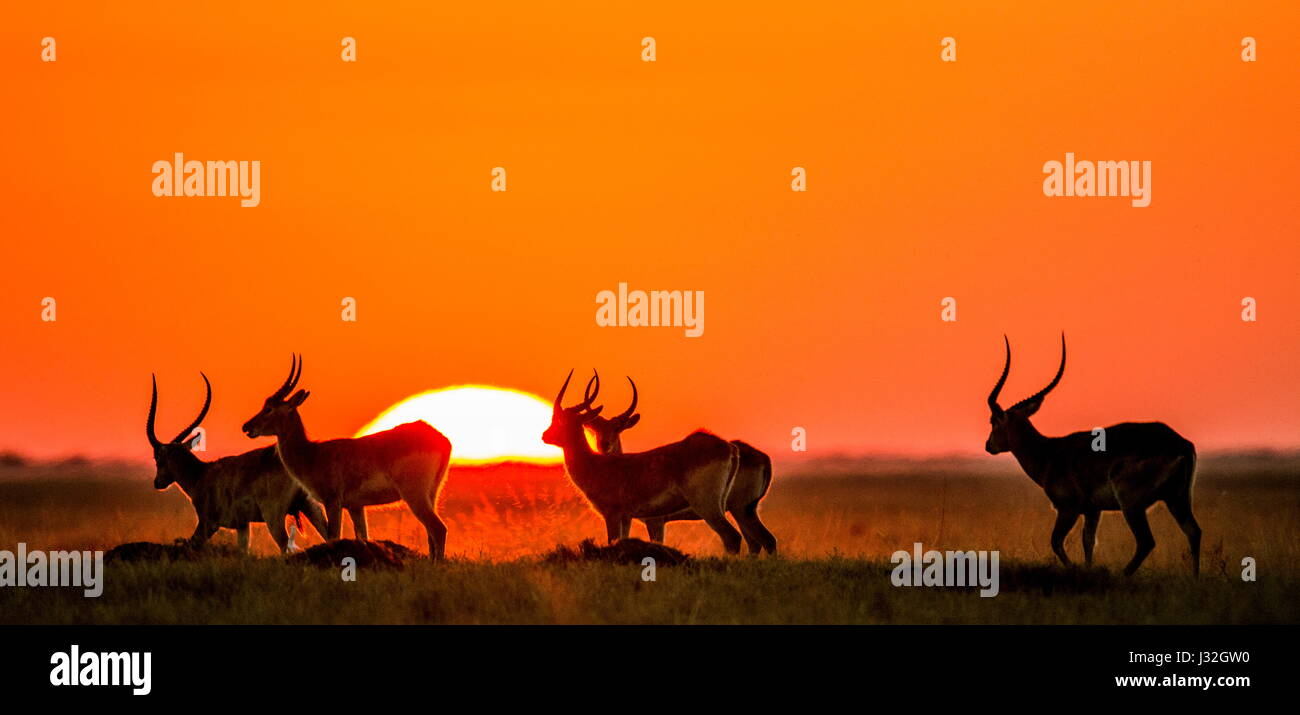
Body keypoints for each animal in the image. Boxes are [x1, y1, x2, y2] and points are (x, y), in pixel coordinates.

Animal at [147, 373, 328, 553]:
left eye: (158, 458)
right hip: (311, 507)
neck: (200, 474)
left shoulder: (208, 524)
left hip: (273, 517)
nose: (157, 483)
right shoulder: (242, 526)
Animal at [241, 355, 452, 559]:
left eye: (269, 408)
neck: (312, 454)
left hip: (414, 495)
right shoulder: (355, 506)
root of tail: (440, 439)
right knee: (430, 533)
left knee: (438, 529)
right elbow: (363, 536)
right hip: (431, 494)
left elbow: (333, 536)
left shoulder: (333, 501)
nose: (246, 427)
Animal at [542, 369, 744, 553]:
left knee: (732, 536)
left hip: (706, 505)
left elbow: (612, 541)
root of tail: (728, 447)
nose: (545, 435)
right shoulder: (626, 517)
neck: (596, 465)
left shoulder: (614, 515)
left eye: (559, 420)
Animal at [584, 373, 777, 554]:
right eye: (595, 429)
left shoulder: (655, 521)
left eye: (618, 427)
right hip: (745, 511)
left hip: (736, 509)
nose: (604, 444)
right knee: (761, 541)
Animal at [985, 334, 1200, 575]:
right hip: (1178, 498)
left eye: (993, 421)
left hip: (1132, 505)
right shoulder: (1093, 511)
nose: (988, 445)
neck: (1049, 453)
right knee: (1193, 532)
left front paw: (1074, 570)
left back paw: (1123, 575)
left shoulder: (1068, 508)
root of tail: (1180, 443)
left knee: (1146, 541)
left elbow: (1056, 541)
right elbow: (1088, 542)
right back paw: (1194, 577)